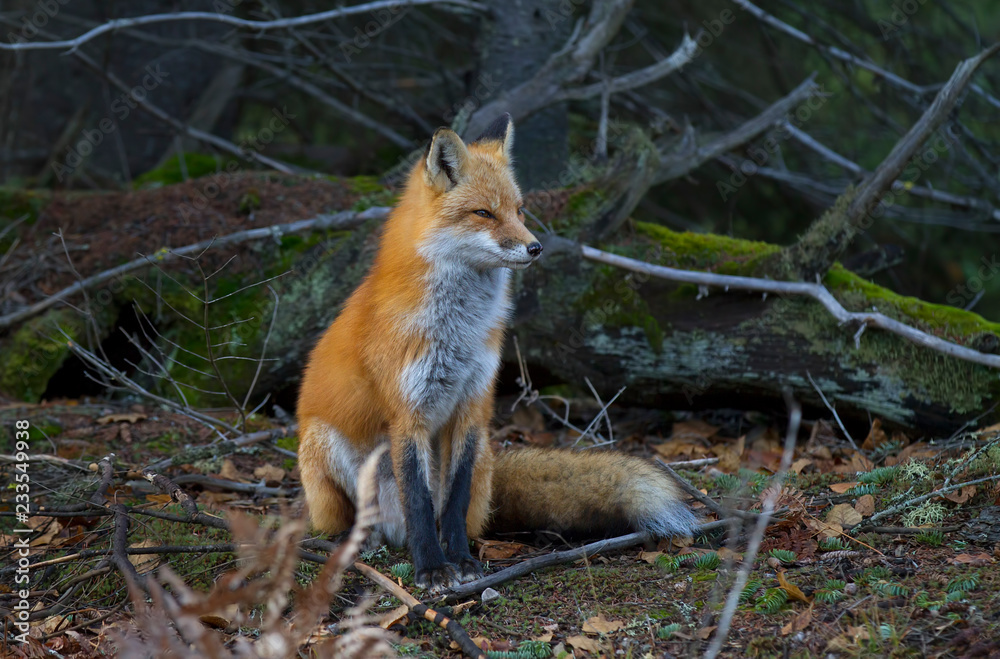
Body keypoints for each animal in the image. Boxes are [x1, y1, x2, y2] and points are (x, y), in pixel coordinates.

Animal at [297, 113, 697, 590]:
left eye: (519, 210)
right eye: (484, 213)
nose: (535, 247)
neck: (458, 332)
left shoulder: (473, 404)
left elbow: (451, 500)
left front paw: (460, 560)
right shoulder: (408, 414)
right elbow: (419, 501)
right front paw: (432, 568)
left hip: (485, 453)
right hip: (325, 448)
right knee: (360, 522)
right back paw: (359, 543)